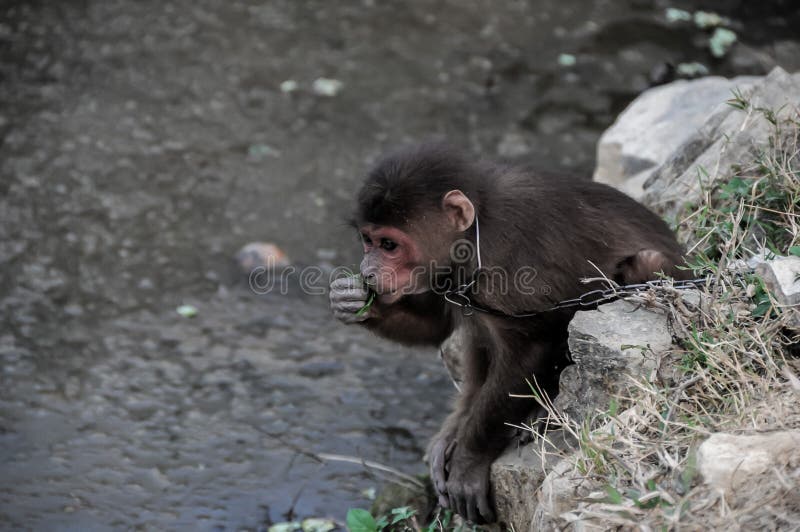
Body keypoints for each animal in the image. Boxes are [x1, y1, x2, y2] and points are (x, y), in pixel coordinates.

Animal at [329, 144, 688, 523]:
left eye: (389, 245)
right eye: (368, 240)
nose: (368, 269)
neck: (476, 228)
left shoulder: (506, 264)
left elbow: (530, 349)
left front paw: (469, 461)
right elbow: (439, 324)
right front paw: (353, 301)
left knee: (646, 261)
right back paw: (460, 419)